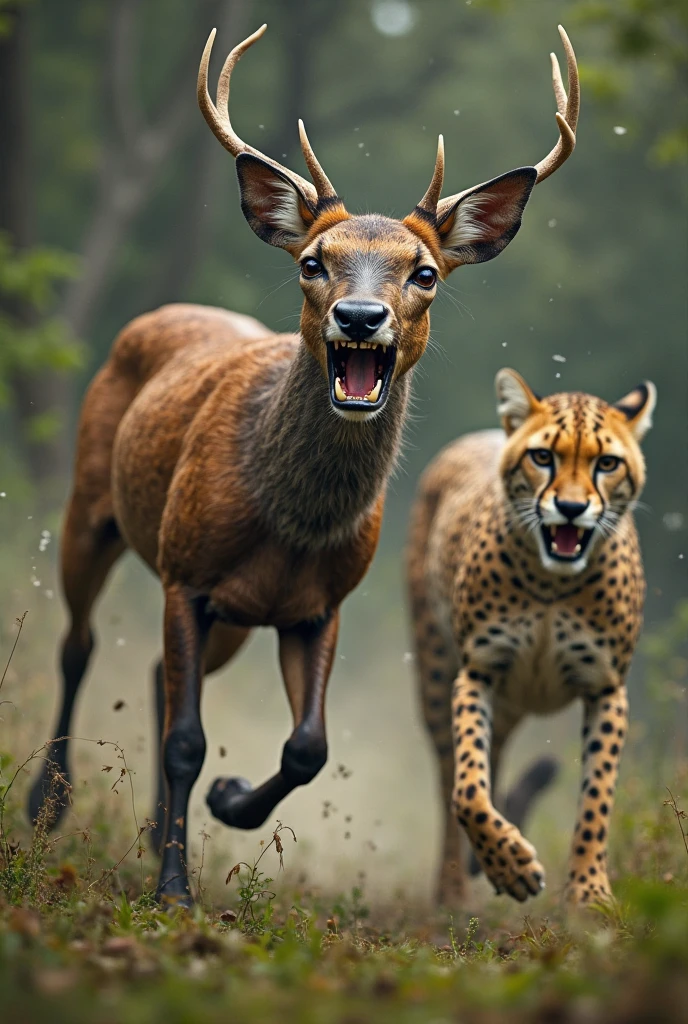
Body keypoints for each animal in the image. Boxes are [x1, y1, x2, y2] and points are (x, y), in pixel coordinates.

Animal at [28, 25, 580, 906]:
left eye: (425, 272)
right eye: (313, 261)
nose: (360, 316)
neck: (289, 524)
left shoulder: (318, 605)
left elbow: (307, 748)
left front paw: (228, 805)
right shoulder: (186, 572)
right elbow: (188, 740)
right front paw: (176, 889)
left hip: (227, 617)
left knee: (151, 673)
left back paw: (149, 830)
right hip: (91, 507)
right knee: (78, 645)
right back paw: (47, 806)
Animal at [407, 367, 656, 907]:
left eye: (607, 463)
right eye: (543, 457)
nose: (571, 507)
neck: (551, 582)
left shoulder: (605, 688)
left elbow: (596, 796)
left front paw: (588, 893)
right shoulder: (477, 673)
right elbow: (468, 790)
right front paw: (510, 866)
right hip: (436, 676)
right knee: (448, 778)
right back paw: (452, 890)